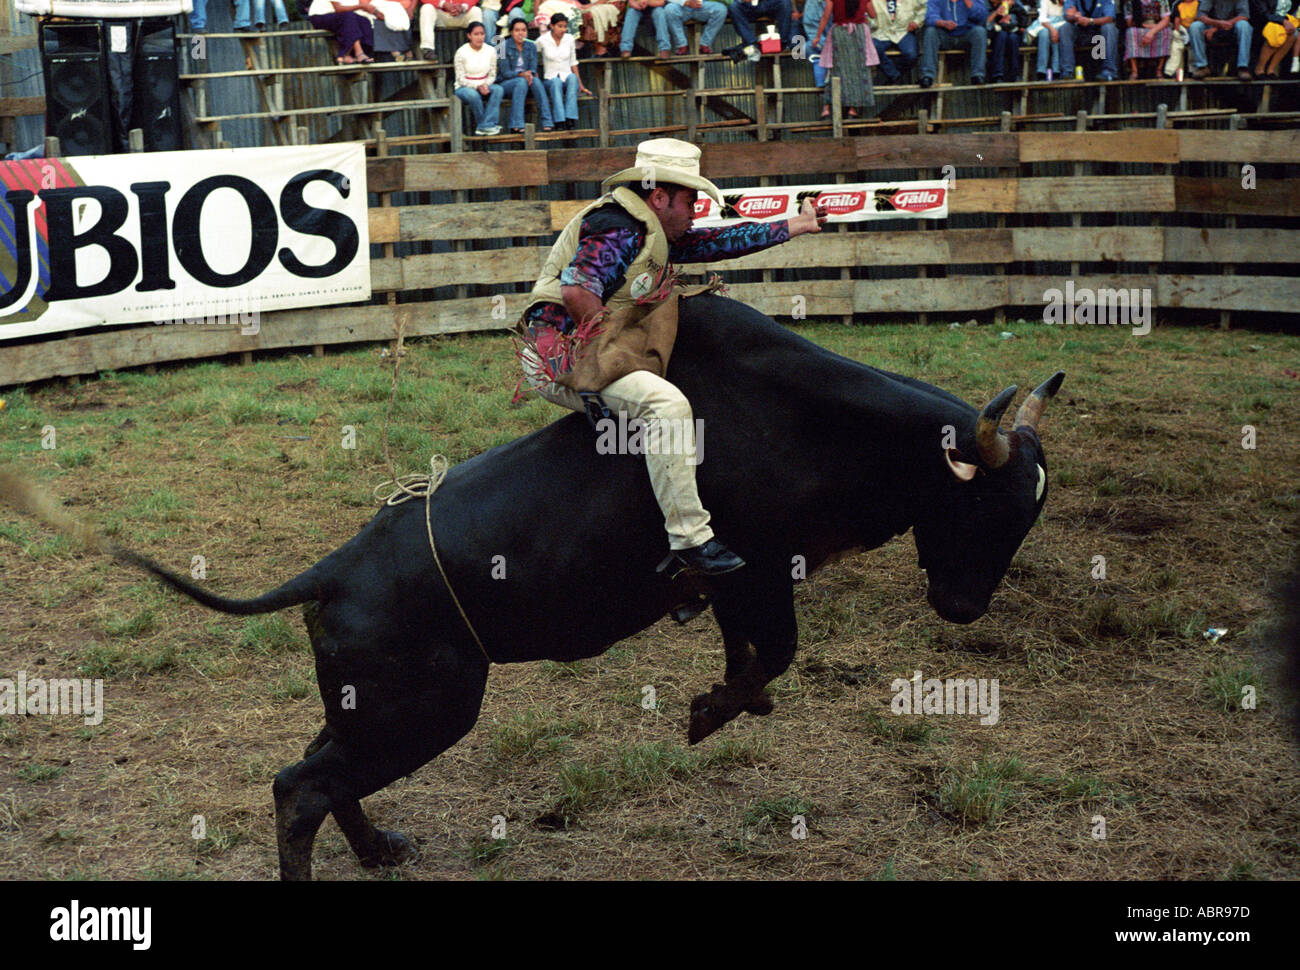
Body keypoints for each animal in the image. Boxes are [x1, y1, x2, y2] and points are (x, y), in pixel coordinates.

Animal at [2, 294, 1063, 880]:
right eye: (986, 508)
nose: (964, 606)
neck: (817, 419)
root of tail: (334, 568)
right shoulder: (760, 570)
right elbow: (776, 648)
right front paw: (713, 711)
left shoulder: (747, 583)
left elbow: (755, 652)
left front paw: (728, 702)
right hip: (424, 709)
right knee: (300, 788)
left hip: (372, 705)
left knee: (311, 768)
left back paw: (380, 849)